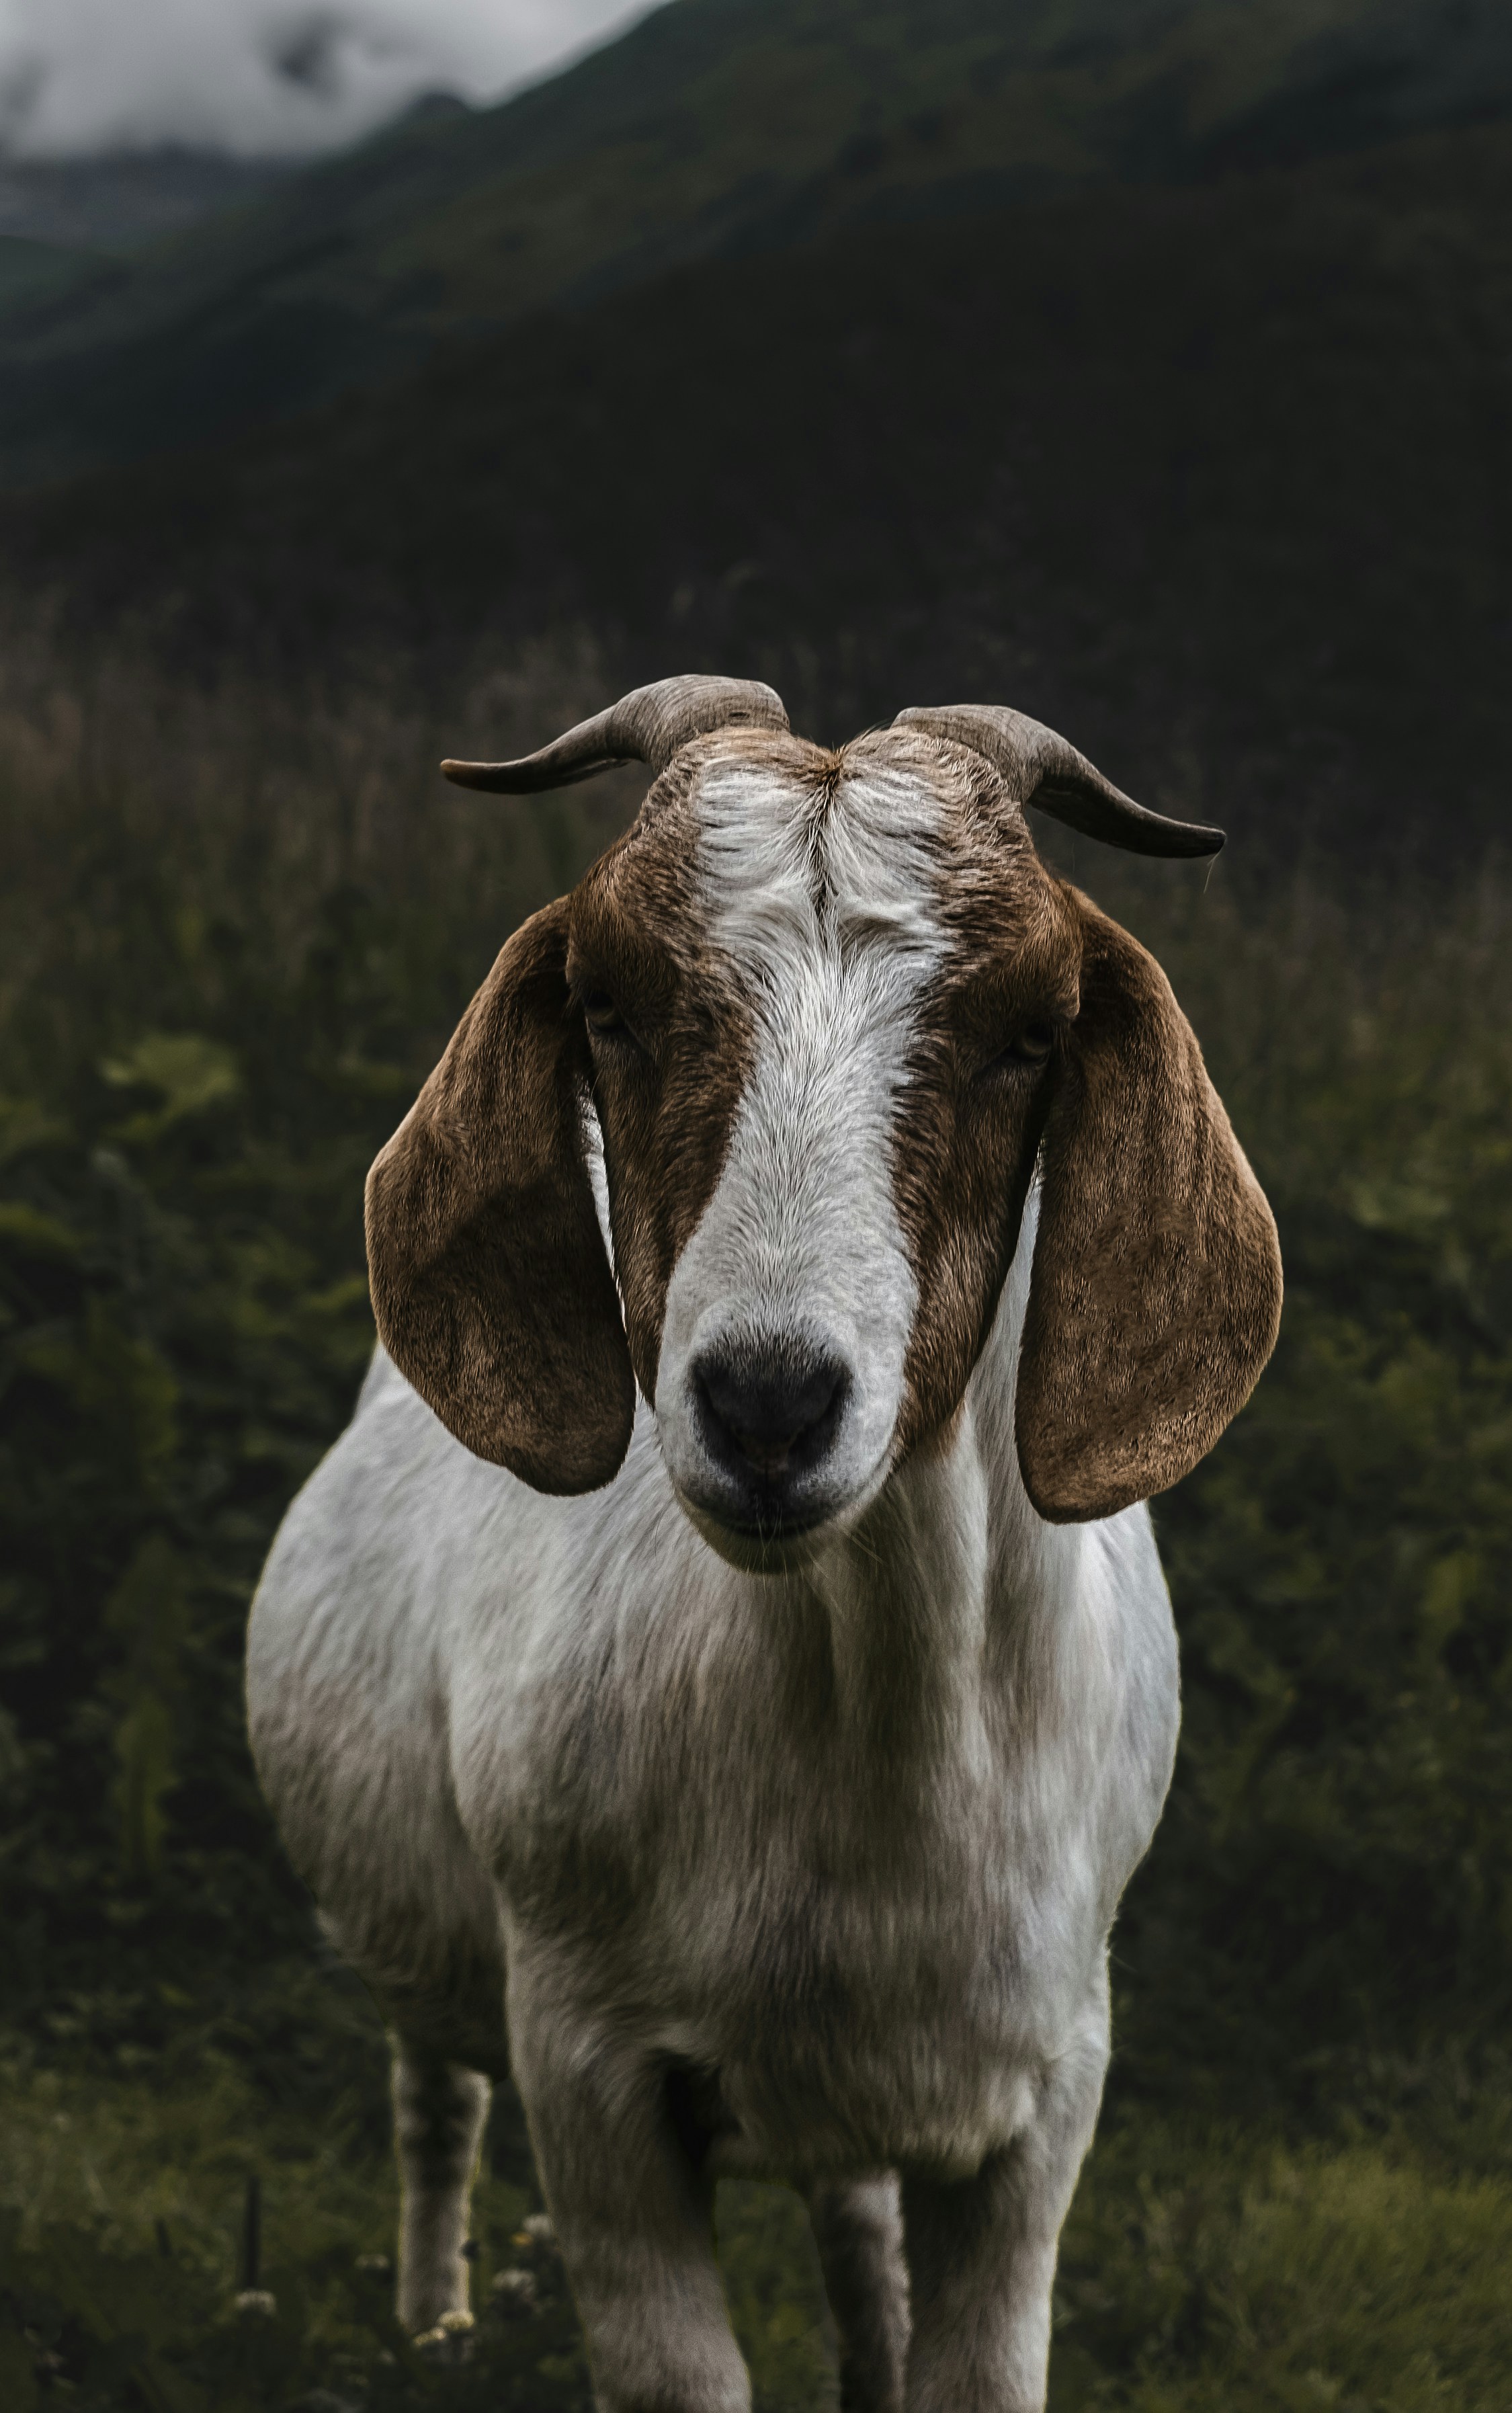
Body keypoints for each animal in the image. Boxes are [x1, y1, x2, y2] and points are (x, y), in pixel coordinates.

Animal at [246, 676, 1281, 2413]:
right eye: (606, 1003)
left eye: (1030, 1032)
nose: (770, 1401)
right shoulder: (586, 2055)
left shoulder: (1047, 2083)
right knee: (432, 2101)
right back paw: (435, 2313)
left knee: (853, 2239)